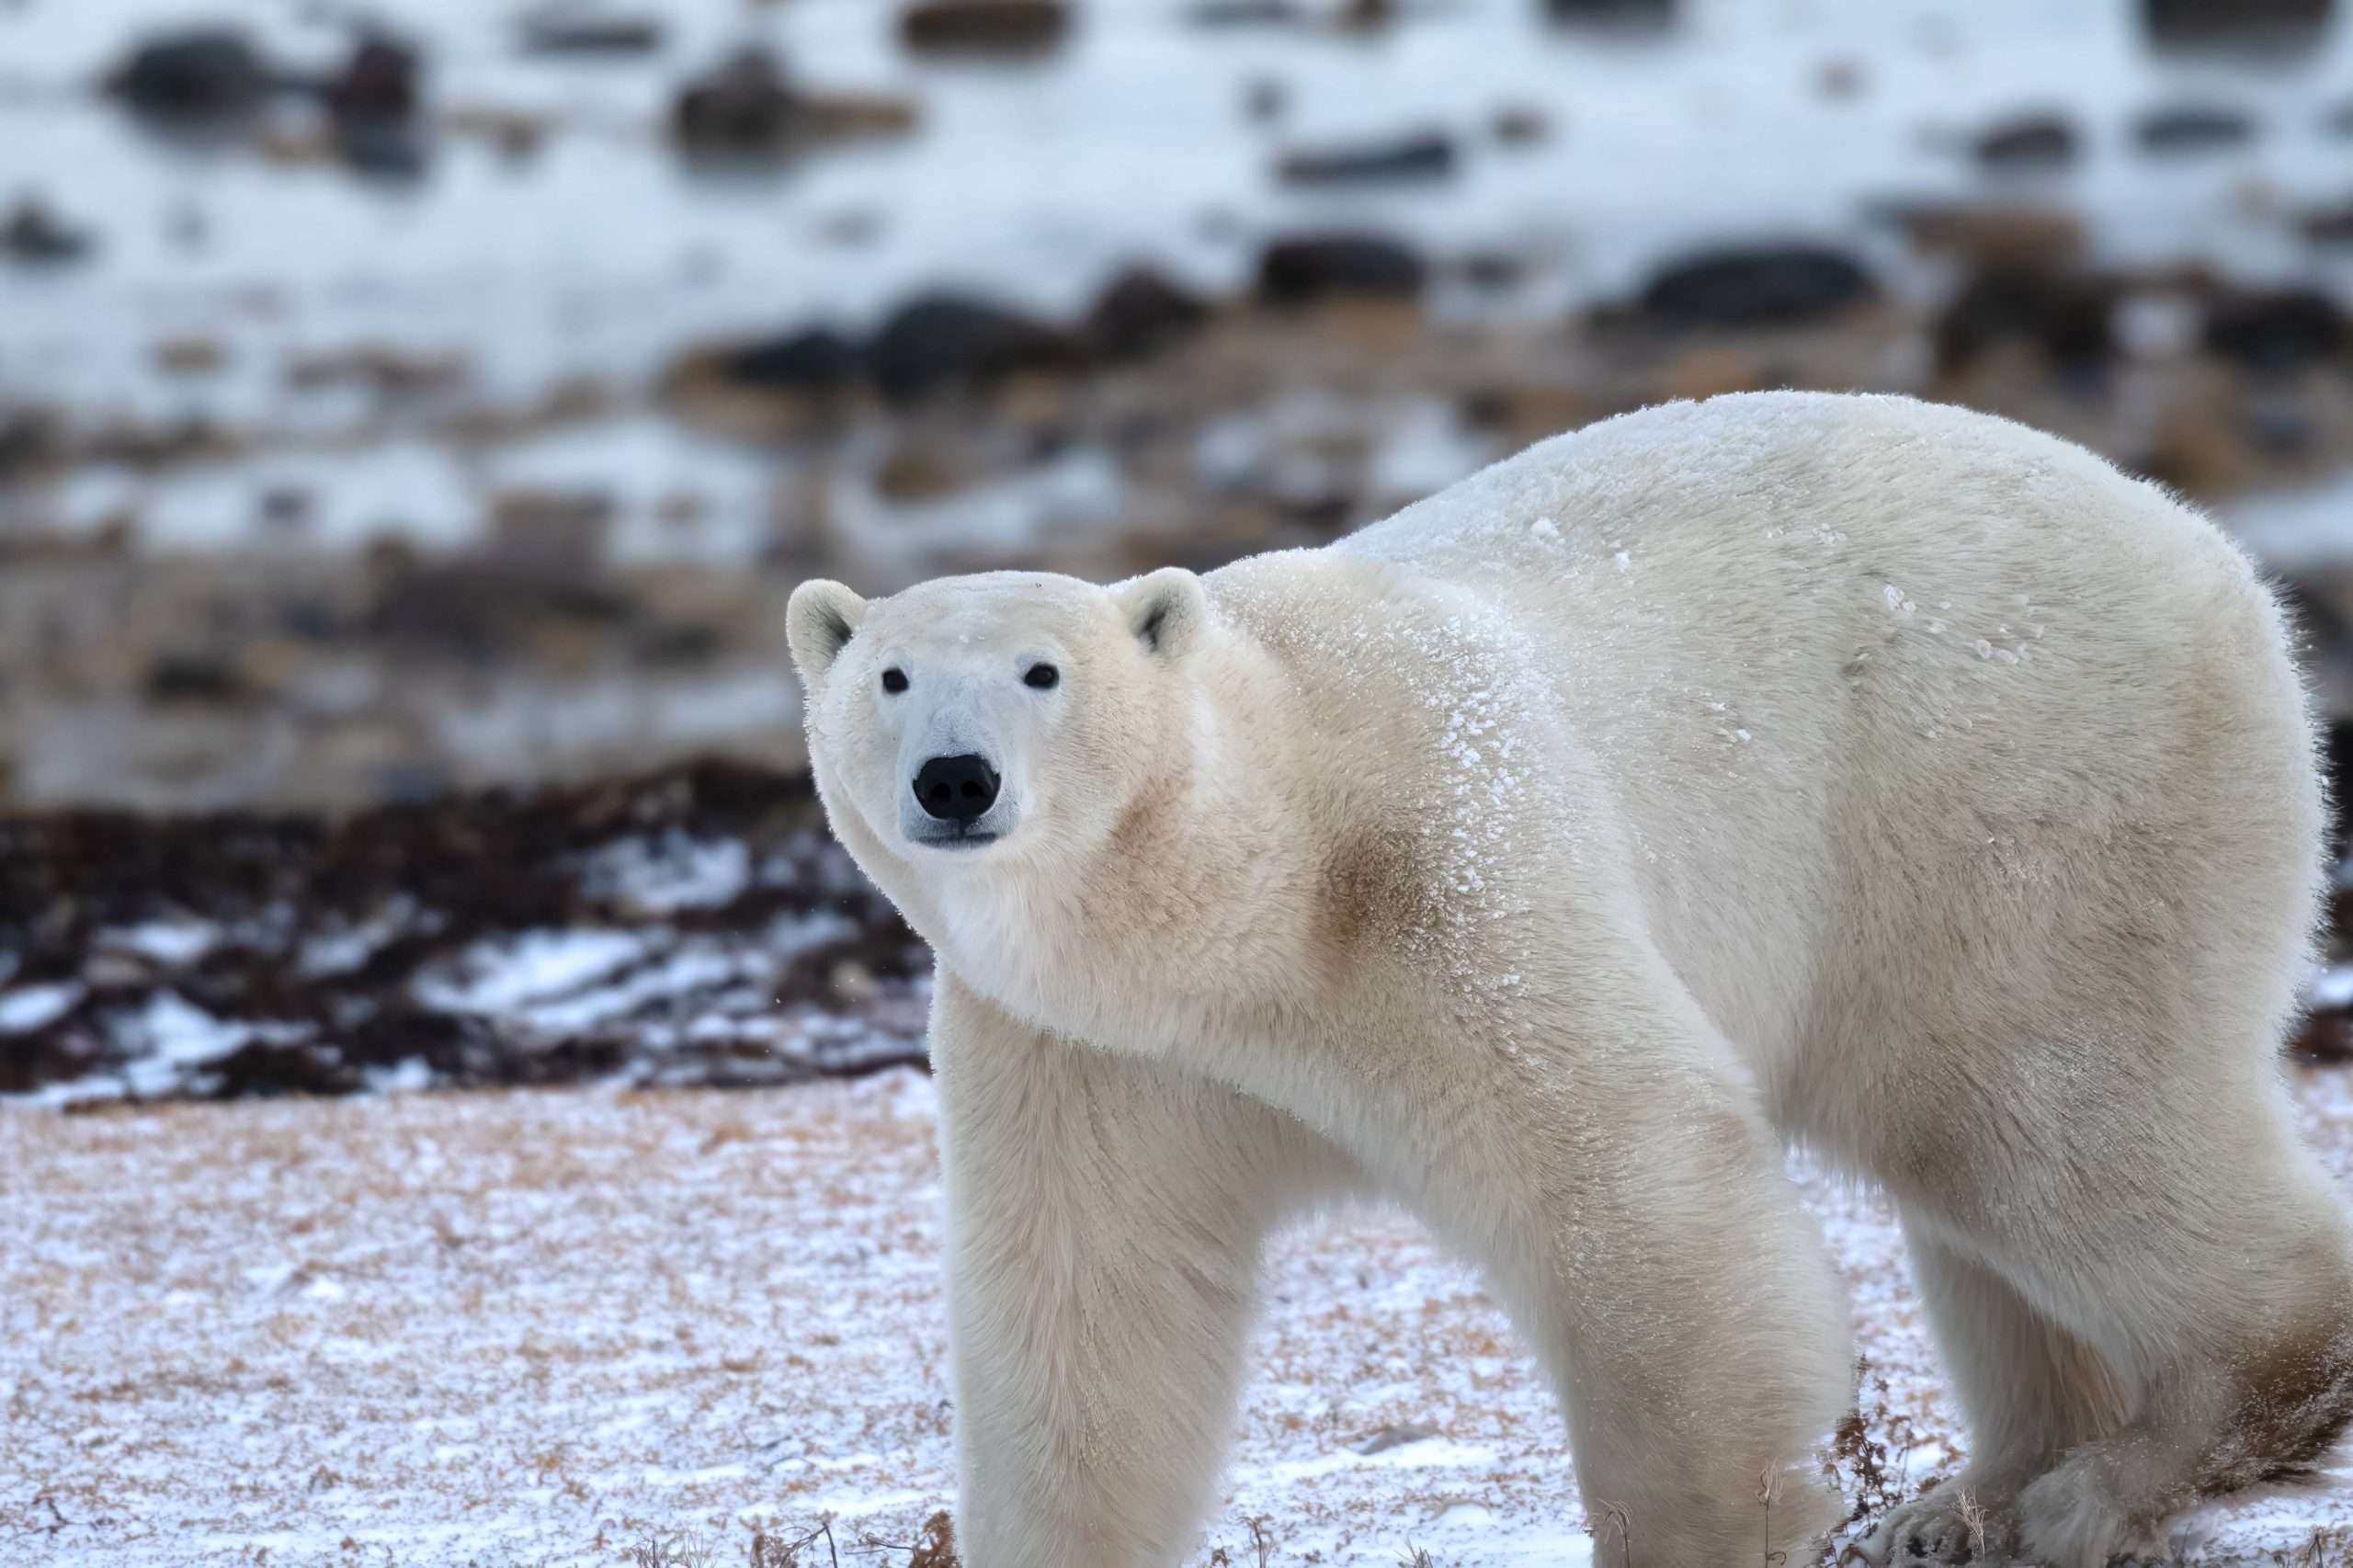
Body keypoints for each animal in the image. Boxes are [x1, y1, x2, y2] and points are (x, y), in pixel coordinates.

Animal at [786, 391, 2353, 1568]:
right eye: (892, 679)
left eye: (1041, 673)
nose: (955, 779)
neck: (1253, 896)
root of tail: (2217, 561)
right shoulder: (1090, 1047)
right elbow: (1089, 1311)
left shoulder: (1445, 875)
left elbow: (1636, 1178)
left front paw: (1710, 1528)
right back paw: (1972, 1498)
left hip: (2016, 791)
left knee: (2041, 1111)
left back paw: (2121, 1470)